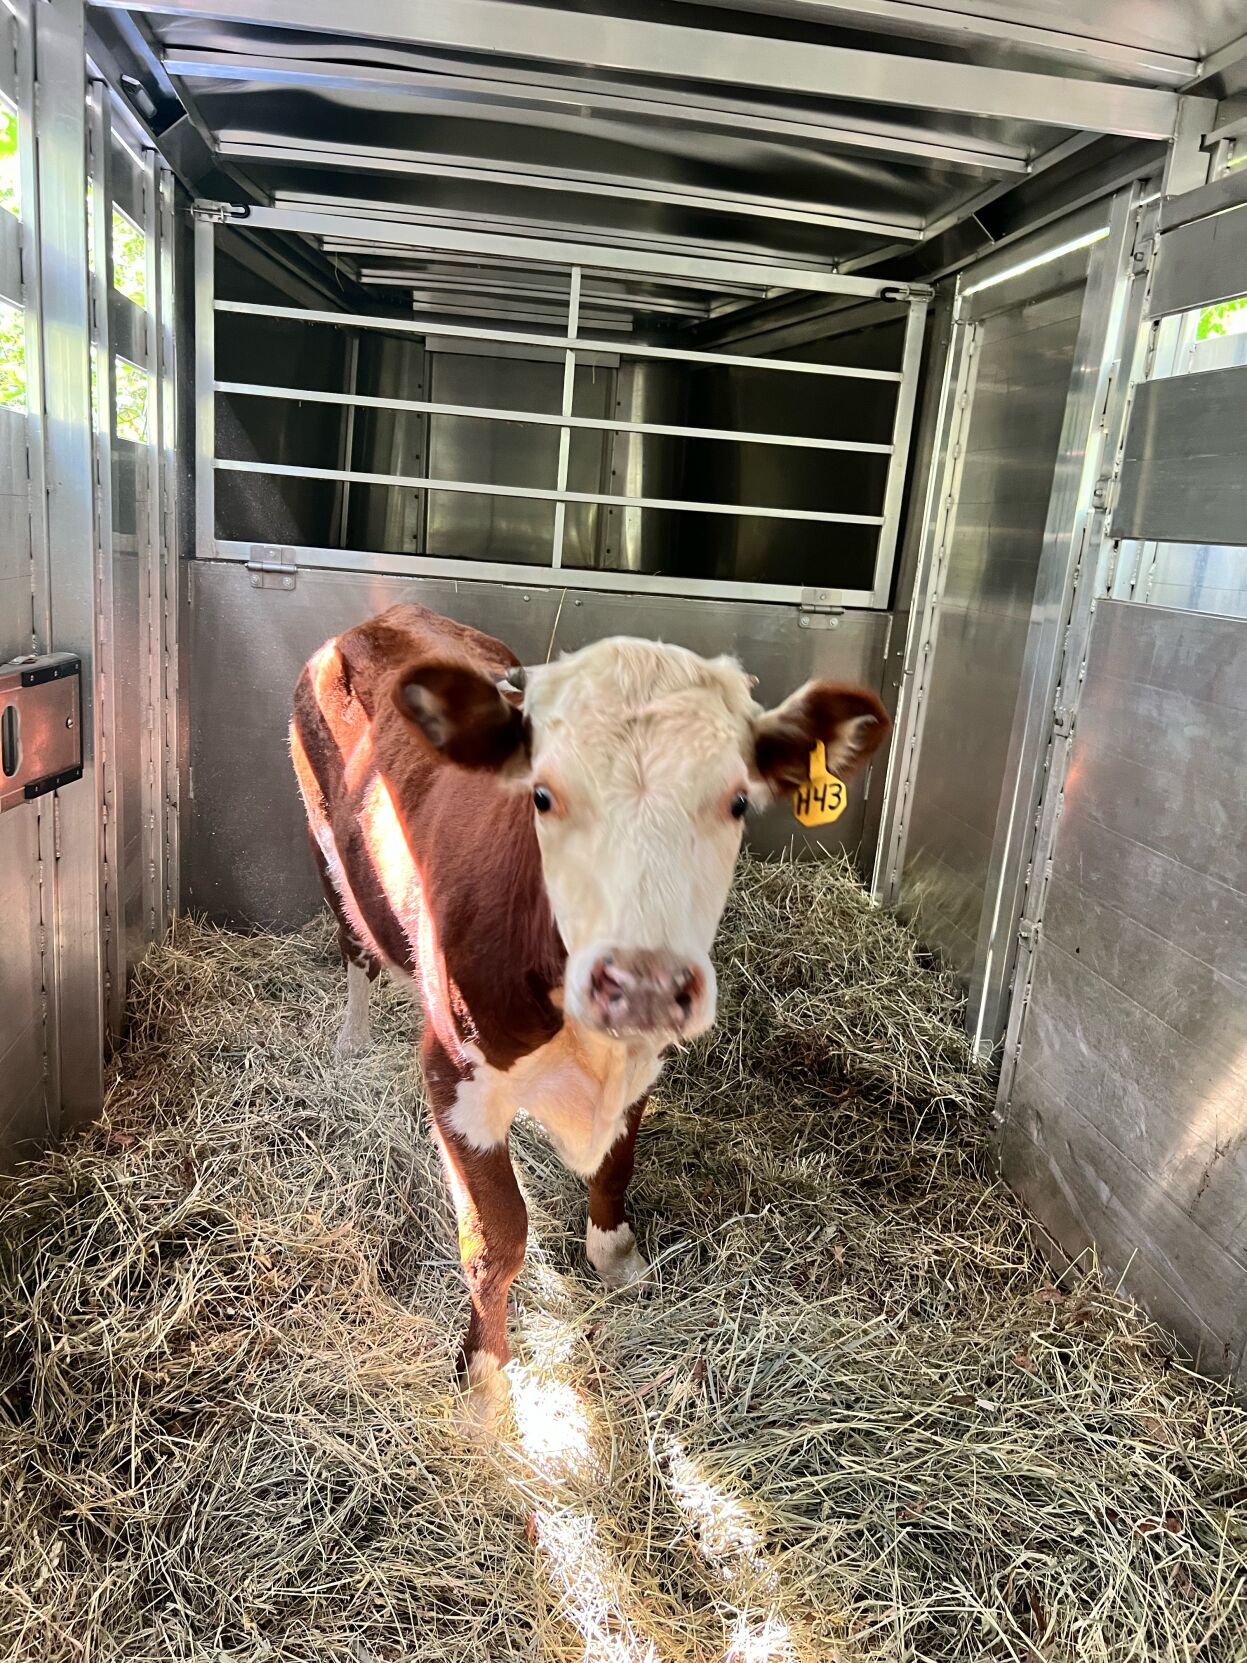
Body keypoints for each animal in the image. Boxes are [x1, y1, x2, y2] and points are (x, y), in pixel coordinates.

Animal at [291, 603, 889, 1417]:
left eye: (736, 800)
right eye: (542, 794)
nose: (643, 983)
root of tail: (385, 618)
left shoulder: (641, 1060)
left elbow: (615, 1168)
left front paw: (616, 1258)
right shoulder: (452, 1072)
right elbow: (497, 1237)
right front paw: (485, 1376)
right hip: (326, 846)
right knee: (354, 946)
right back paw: (351, 1039)